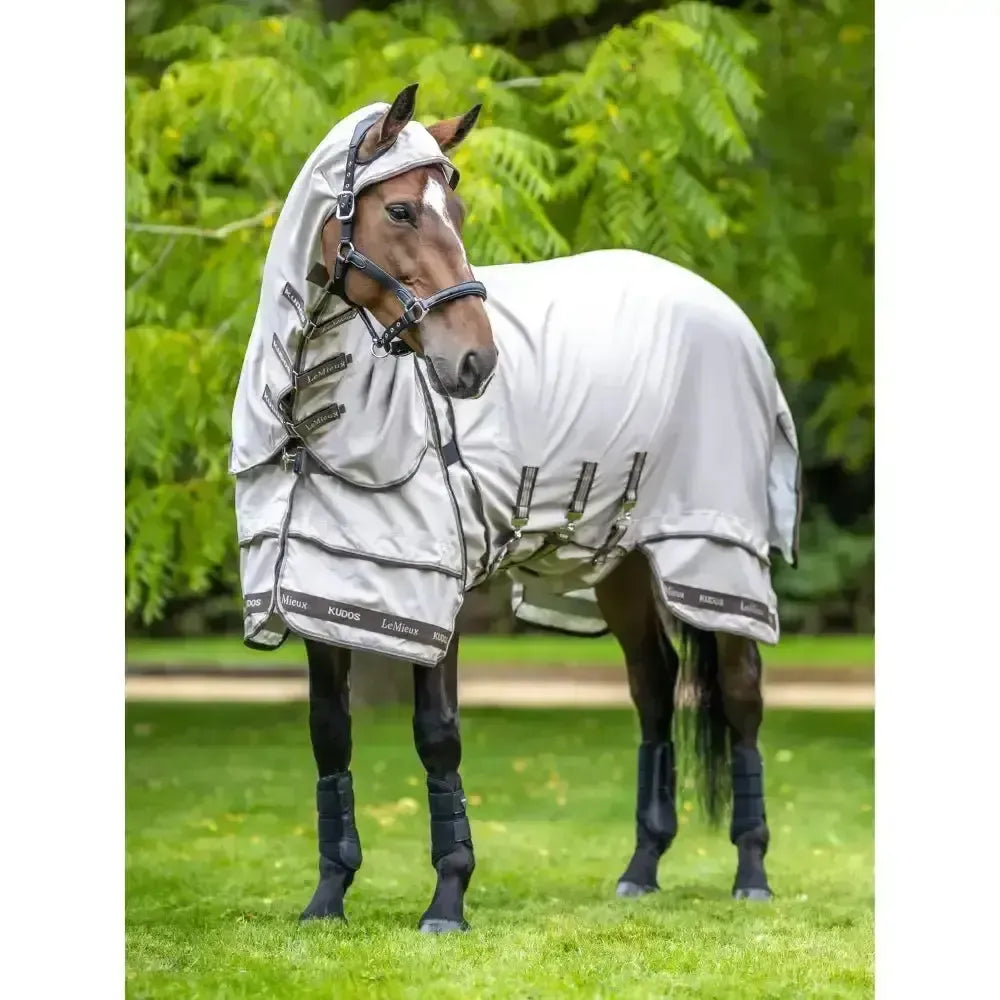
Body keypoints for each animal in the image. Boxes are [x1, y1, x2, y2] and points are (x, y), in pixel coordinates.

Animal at [231, 84, 801, 933]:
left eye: (460, 211)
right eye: (400, 210)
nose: (474, 363)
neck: (319, 420)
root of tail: (725, 311)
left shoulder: (433, 590)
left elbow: (437, 736)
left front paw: (447, 899)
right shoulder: (325, 589)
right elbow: (329, 735)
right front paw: (327, 897)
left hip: (714, 553)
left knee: (740, 694)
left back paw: (753, 873)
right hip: (620, 563)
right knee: (654, 688)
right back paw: (641, 867)